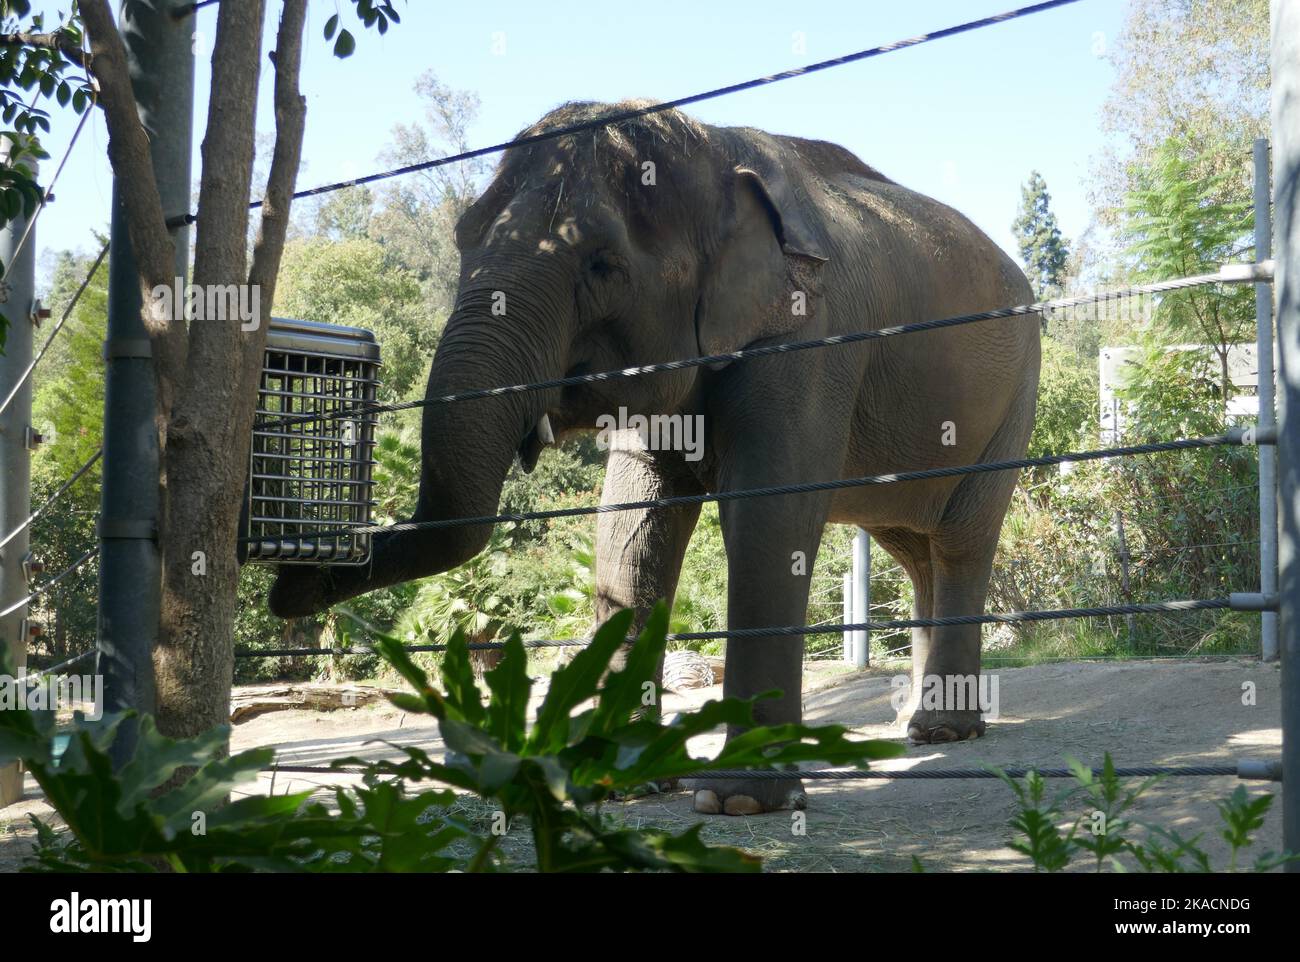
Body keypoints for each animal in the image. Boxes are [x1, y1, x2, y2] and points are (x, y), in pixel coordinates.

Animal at [270, 100, 1041, 815]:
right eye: (462, 239)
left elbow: (769, 521)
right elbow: (629, 529)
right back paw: (914, 724)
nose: (293, 581)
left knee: (960, 541)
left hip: (1014, 396)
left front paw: (738, 802)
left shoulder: (810, 335)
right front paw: (619, 780)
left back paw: (941, 731)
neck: (713, 145)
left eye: (602, 265)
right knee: (914, 549)